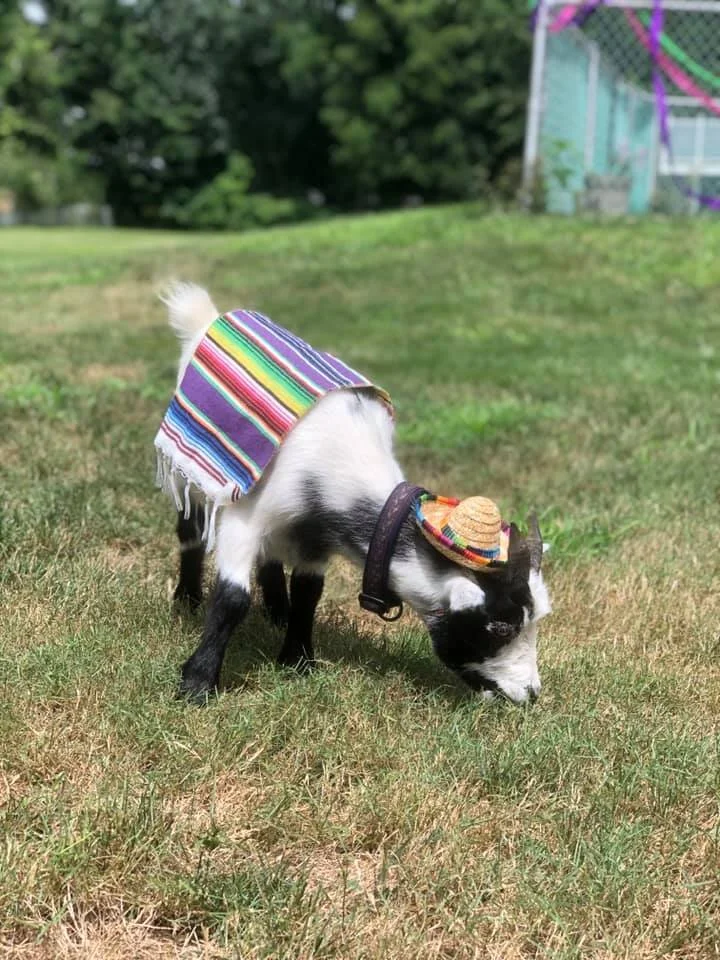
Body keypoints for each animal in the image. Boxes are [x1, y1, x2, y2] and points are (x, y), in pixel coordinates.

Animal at [159, 283, 551, 705]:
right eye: (500, 627)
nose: (530, 693)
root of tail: (208, 318)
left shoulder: (314, 538)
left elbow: (309, 591)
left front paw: (297, 660)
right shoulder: (246, 518)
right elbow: (233, 597)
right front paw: (197, 683)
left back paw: (277, 610)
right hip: (189, 470)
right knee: (190, 530)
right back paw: (187, 598)